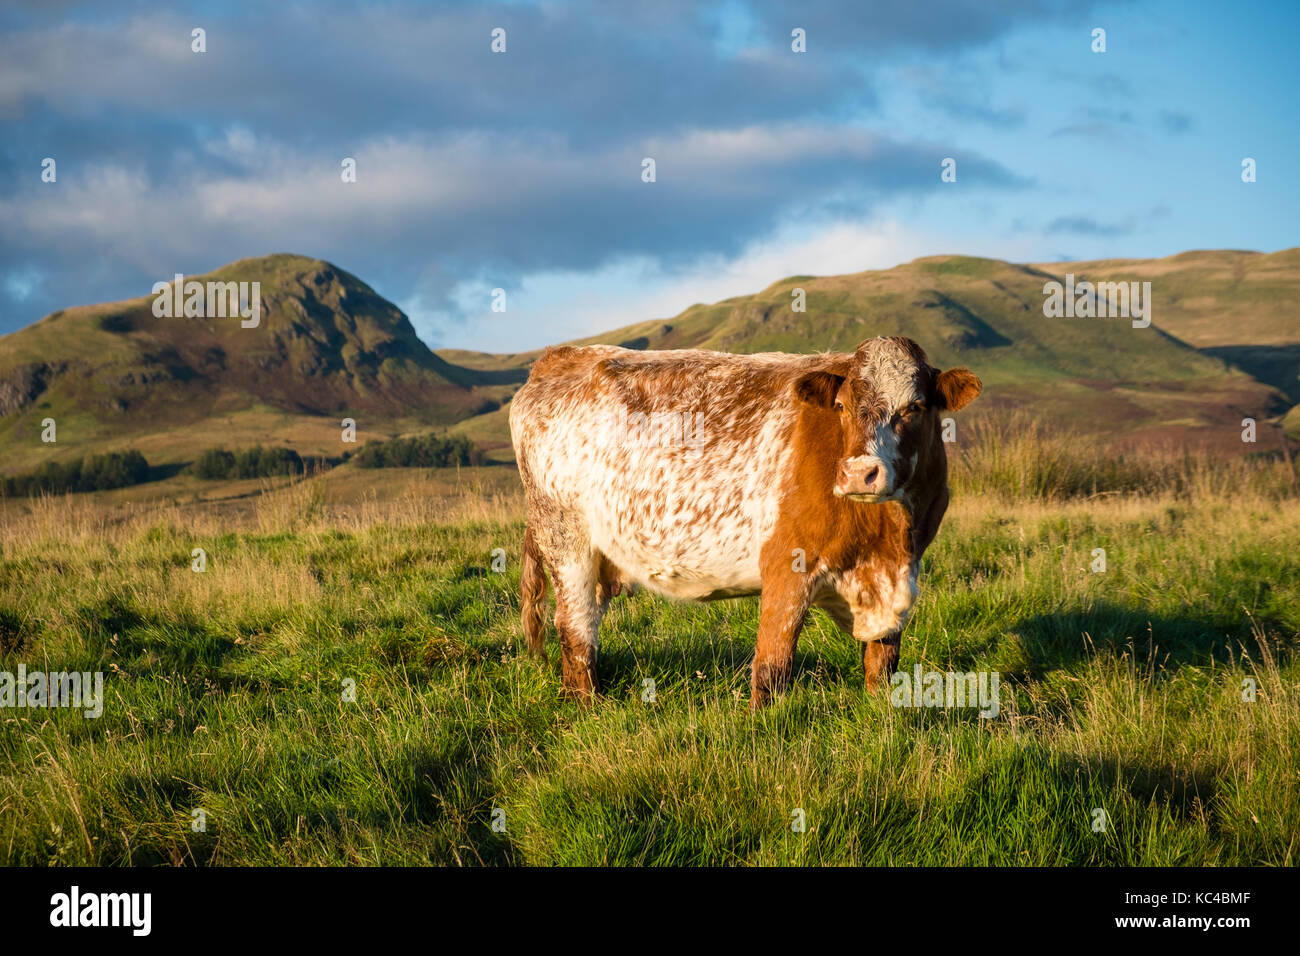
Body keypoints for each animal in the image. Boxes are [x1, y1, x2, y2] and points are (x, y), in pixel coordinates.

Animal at [509, 336, 981, 708]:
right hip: (566, 539)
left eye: (915, 407)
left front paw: (881, 711)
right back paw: (586, 705)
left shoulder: (899, 576)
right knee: (575, 627)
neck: (885, 541)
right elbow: (773, 664)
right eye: (842, 405)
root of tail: (561, 355)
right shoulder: (787, 567)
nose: (859, 473)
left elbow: (882, 662)